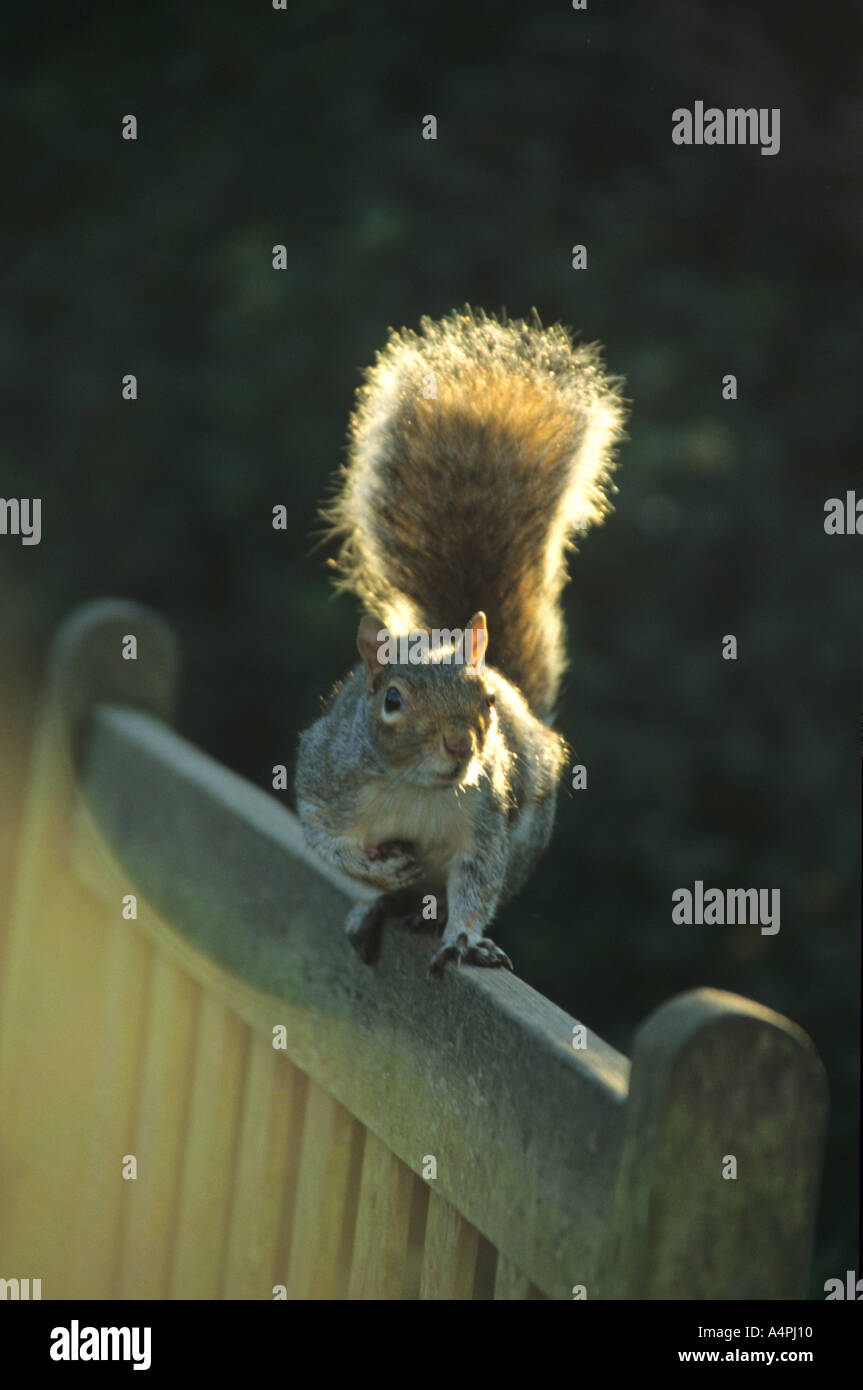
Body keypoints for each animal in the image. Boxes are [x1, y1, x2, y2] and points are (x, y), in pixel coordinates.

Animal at [296, 307, 625, 977]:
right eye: (392, 701)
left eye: (486, 702)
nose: (458, 745)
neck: (414, 788)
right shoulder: (326, 774)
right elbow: (324, 837)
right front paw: (374, 867)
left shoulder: (486, 817)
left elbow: (476, 881)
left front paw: (465, 939)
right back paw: (377, 902)